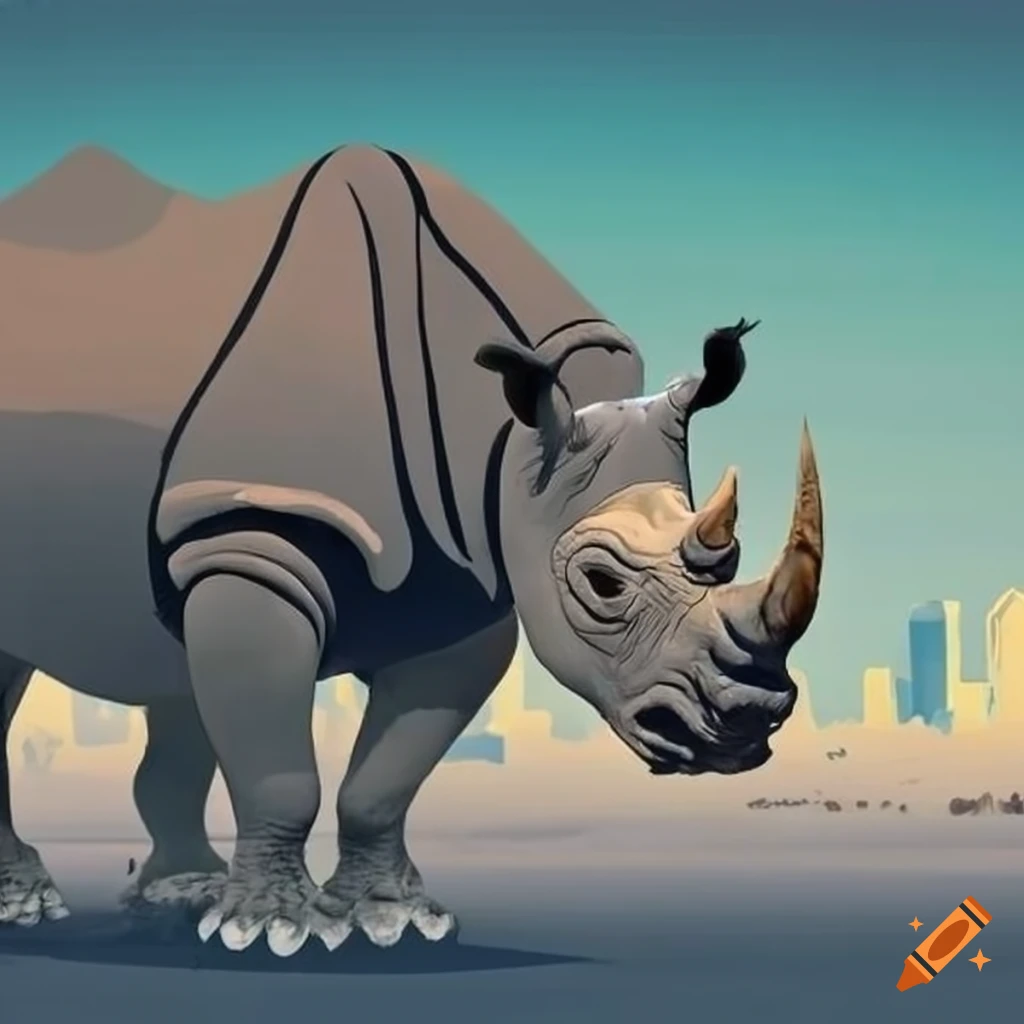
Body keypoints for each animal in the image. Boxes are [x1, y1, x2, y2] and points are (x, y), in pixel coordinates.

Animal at [0, 144, 823, 954]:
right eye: (600, 582)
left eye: (732, 555)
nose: (746, 723)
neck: (507, 440)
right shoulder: (259, 532)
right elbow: (282, 772)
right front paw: (268, 932)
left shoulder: (466, 582)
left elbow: (385, 779)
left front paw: (394, 922)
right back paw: (36, 911)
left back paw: (179, 900)